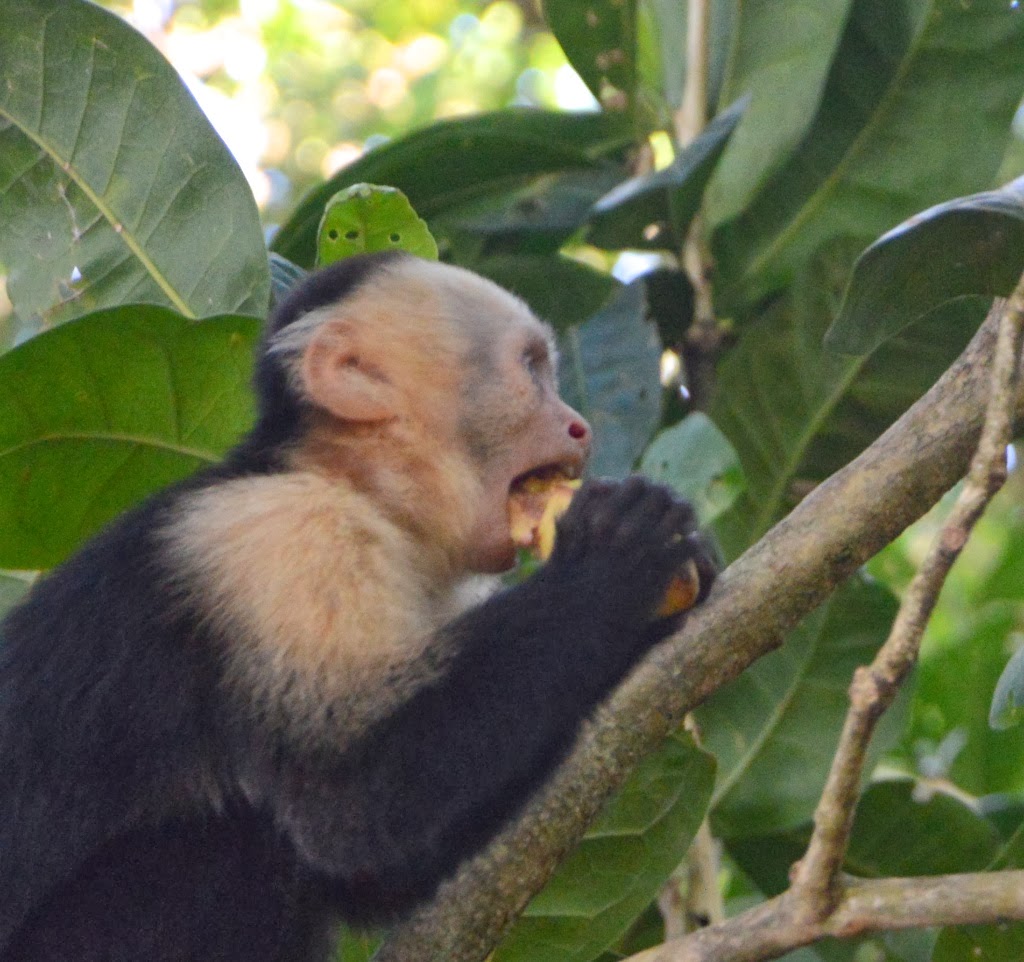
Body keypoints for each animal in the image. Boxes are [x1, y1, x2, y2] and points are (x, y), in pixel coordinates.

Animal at [0, 251, 716, 962]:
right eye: (533, 368)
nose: (580, 427)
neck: (352, 484)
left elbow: (369, 868)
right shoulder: (284, 537)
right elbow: (351, 803)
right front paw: (614, 565)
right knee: (236, 845)